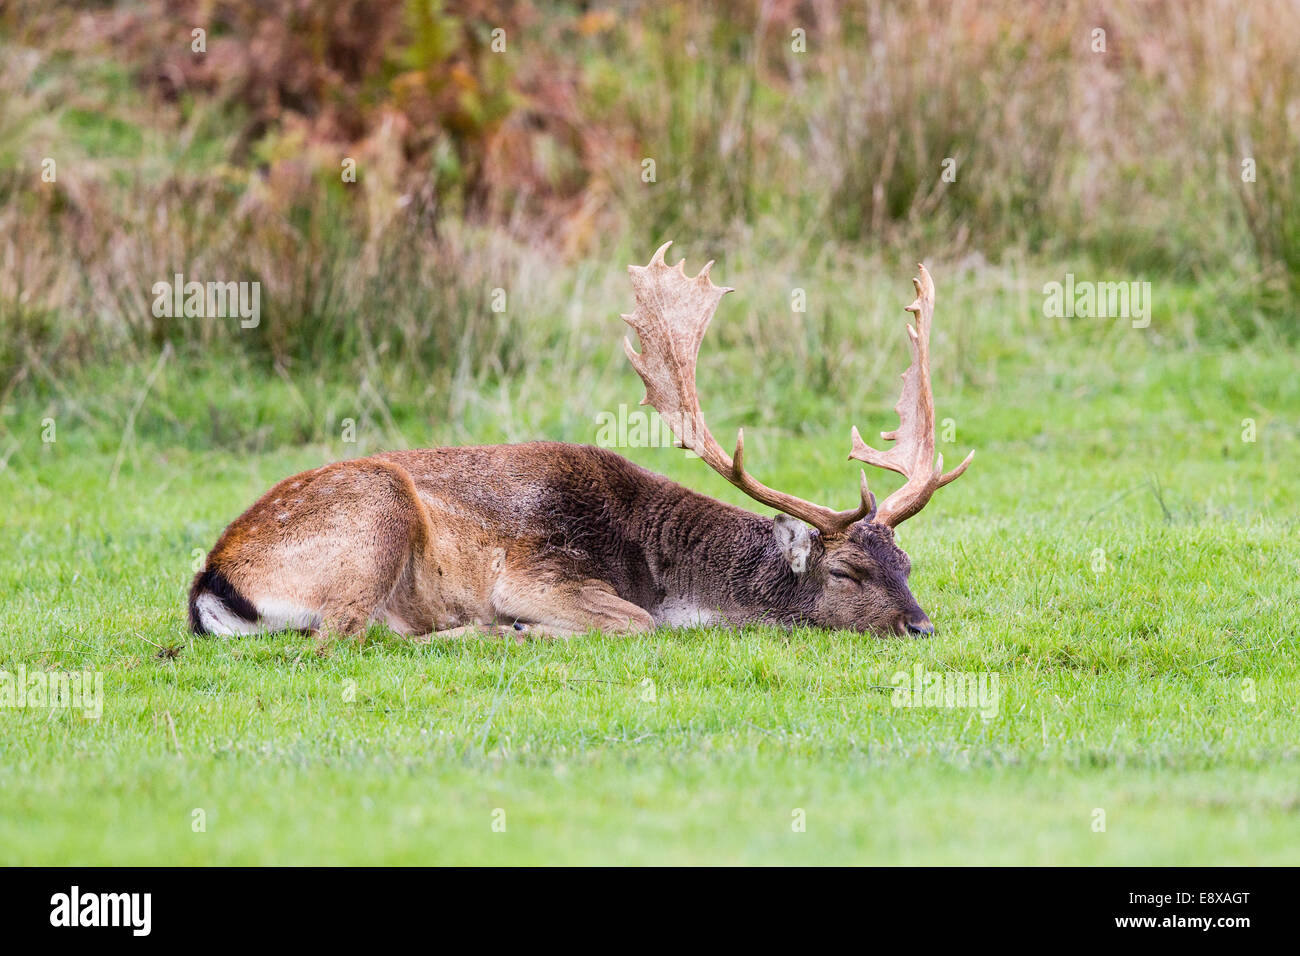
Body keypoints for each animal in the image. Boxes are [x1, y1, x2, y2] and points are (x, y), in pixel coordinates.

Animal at [188, 243, 972, 639]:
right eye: (846, 573)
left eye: (906, 562)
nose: (921, 627)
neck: (661, 573)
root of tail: (212, 581)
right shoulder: (536, 571)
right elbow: (637, 624)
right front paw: (526, 628)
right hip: (377, 513)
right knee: (348, 633)